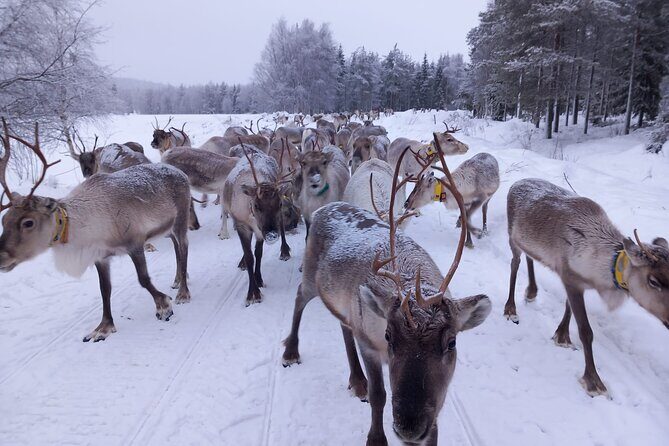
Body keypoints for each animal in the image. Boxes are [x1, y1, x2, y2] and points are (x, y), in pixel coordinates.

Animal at [0, 119, 192, 342]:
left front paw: (164, 306)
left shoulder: (134, 243)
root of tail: (180, 172)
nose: (1, 256)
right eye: (4, 220)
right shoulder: (100, 256)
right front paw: (103, 327)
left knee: (184, 248)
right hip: (166, 227)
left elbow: (143, 279)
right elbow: (104, 289)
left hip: (180, 219)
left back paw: (183, 293)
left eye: (28, 222)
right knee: (177, 247)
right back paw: (178, 280)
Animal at [223, 147, 292, 305]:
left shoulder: (261, 230)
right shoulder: (242, 225)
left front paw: (258, 280)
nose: (272, 235)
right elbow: (250, 257)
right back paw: (242, 262)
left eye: (279, 204)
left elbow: (258, 253)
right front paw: (253, 293)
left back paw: (284, 251)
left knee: (282, 226)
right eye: (256, 205)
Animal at [282, 139, 491, 446]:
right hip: (310, 277)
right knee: (299, 297)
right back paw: (291, 351)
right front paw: (376, 438)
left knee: (343, 324)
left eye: (452, 342)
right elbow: (379, 395)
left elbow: (435, 422)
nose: (409, 427)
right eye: (389, 336)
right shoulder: (370, 345)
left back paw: (356, 379)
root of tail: (325, 208)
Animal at [503, 178, 669, 397]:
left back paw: (531, 291)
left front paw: (561, 335)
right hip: (512, 237)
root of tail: (516, 182)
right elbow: (585, 332)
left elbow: (568, 309)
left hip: (526, 240)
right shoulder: (570, 278)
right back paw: (510, 308)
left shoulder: (575, 282)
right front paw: (593, 381)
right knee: (515, 263)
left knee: (530, 257)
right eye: (654, 281)